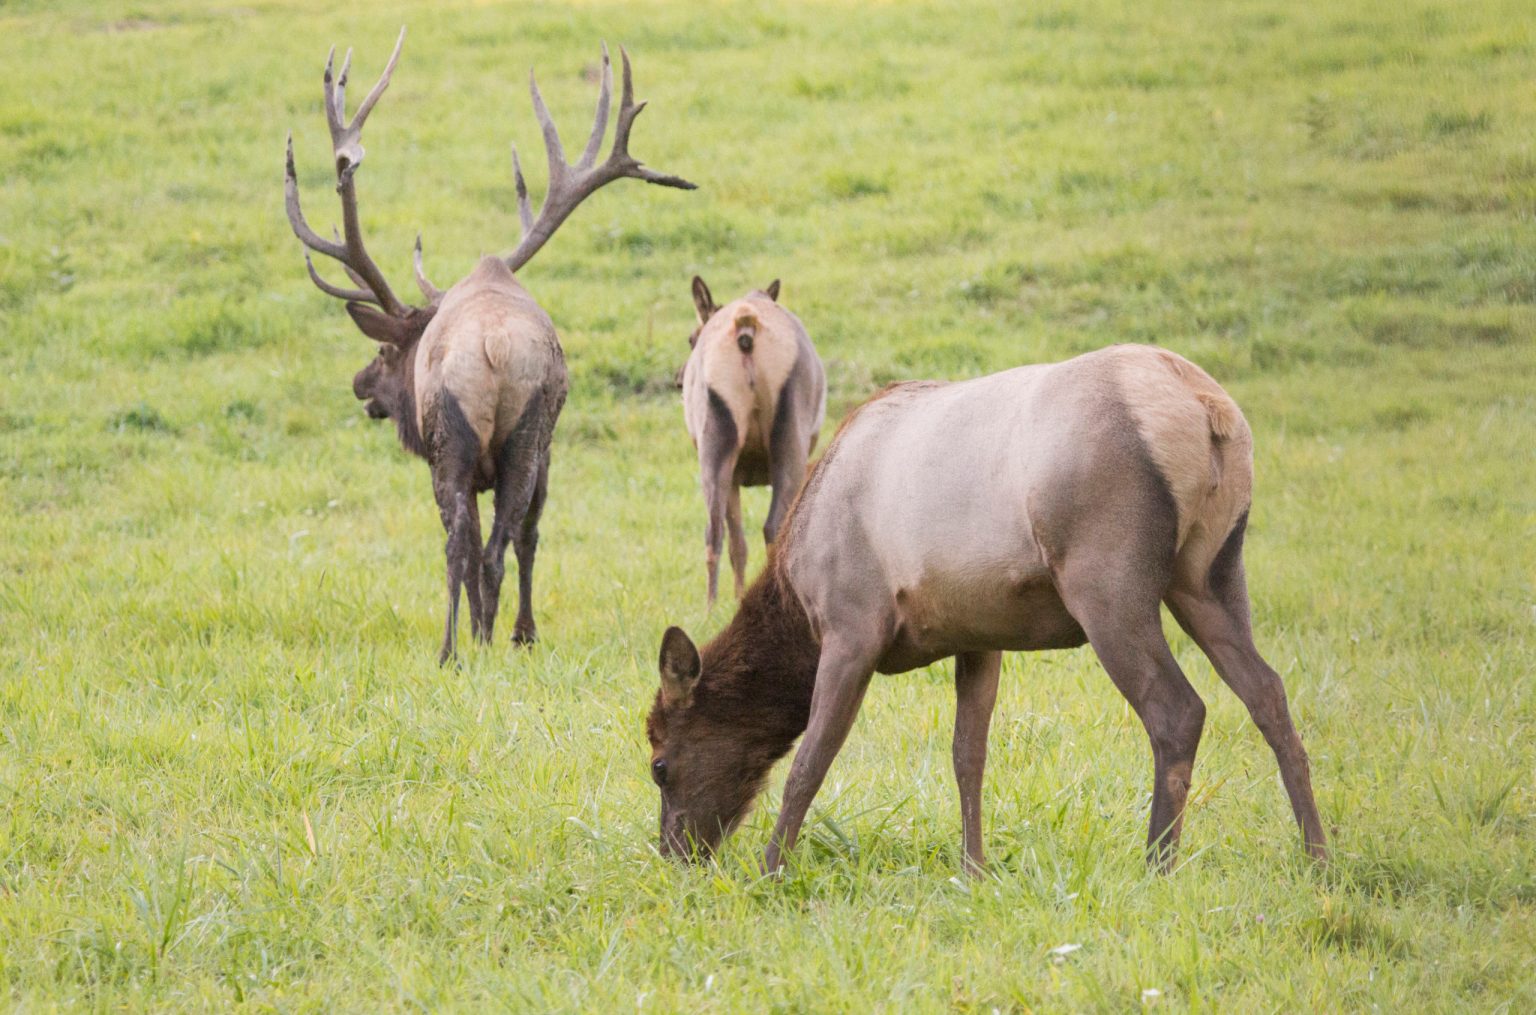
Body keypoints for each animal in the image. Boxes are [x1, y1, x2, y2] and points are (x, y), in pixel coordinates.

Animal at [284, 29, 695, 664]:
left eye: (385, 353)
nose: (358, 384)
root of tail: (493, 348)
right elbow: (512, 537)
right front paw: (512, 632)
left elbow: (509, 537)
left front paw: (506, 633)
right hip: (518, 440)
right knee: (490, 541)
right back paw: (478, 641)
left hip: (471, 442)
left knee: (473, 539)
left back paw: (464, 646)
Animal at [645, 344, 1328, 874]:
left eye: (659, 765)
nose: (676, 855)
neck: (796, 598)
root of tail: (1207, 410)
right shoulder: (977, 635)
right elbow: (967, 757)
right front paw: (974, 869)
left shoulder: (851, 625)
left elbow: (811, 759)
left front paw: (769, 871)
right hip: (1210, 573)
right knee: (1267, 691)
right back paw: (1318, 856)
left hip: (1108, 580)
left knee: (1179, 709)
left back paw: (1156, 865)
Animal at [679, 277, 826, 603]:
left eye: (691, 338)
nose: (677, 377)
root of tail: (746, 326)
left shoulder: (736, 475)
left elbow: (738, 544)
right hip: (790, 437)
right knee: (773, 527)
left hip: (715, 443)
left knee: (714, 532)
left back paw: (712, 607)